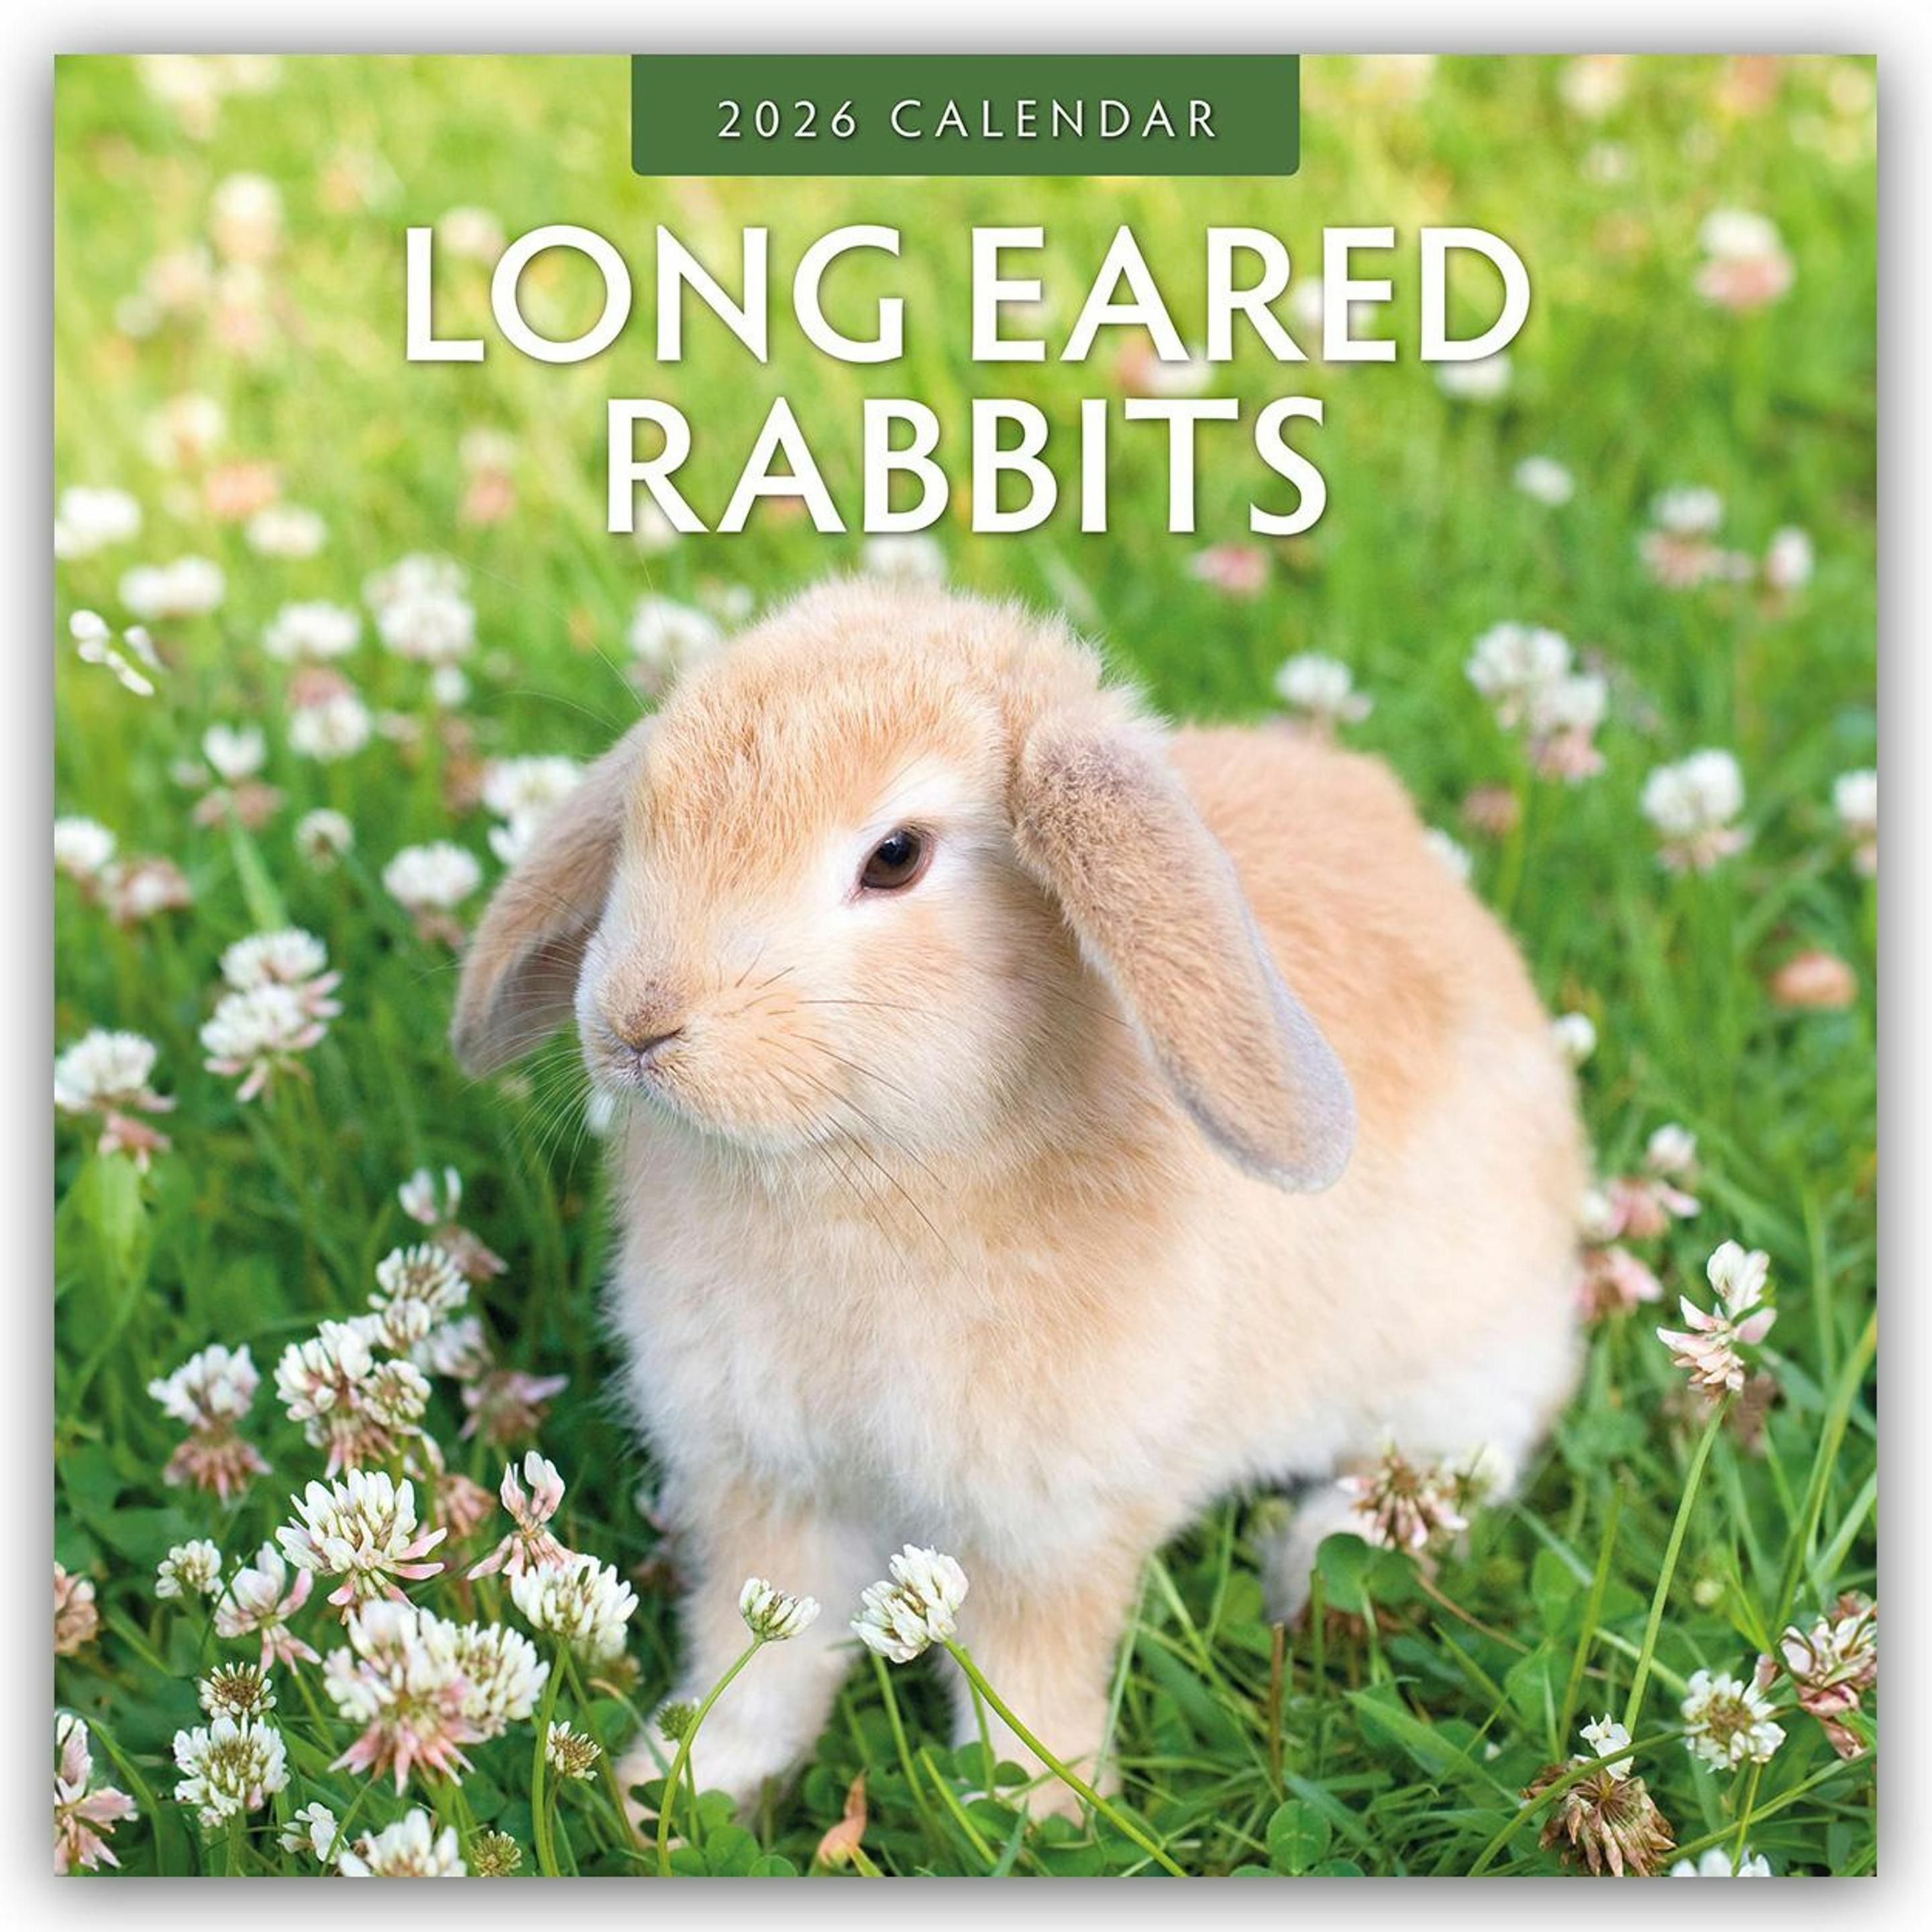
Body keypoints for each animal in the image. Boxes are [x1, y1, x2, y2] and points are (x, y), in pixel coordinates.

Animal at [451, 579, 1584, 1816]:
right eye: (643, 813)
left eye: (896, 857)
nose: (638, 1020)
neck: (861, 1170)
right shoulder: (769, 1486)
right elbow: (758, 1653)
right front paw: (682, 1787)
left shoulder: (1050, 1523)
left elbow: (1026, 1677)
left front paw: (1048, 1811)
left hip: (1459, 1365)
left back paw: (1316, 1569)